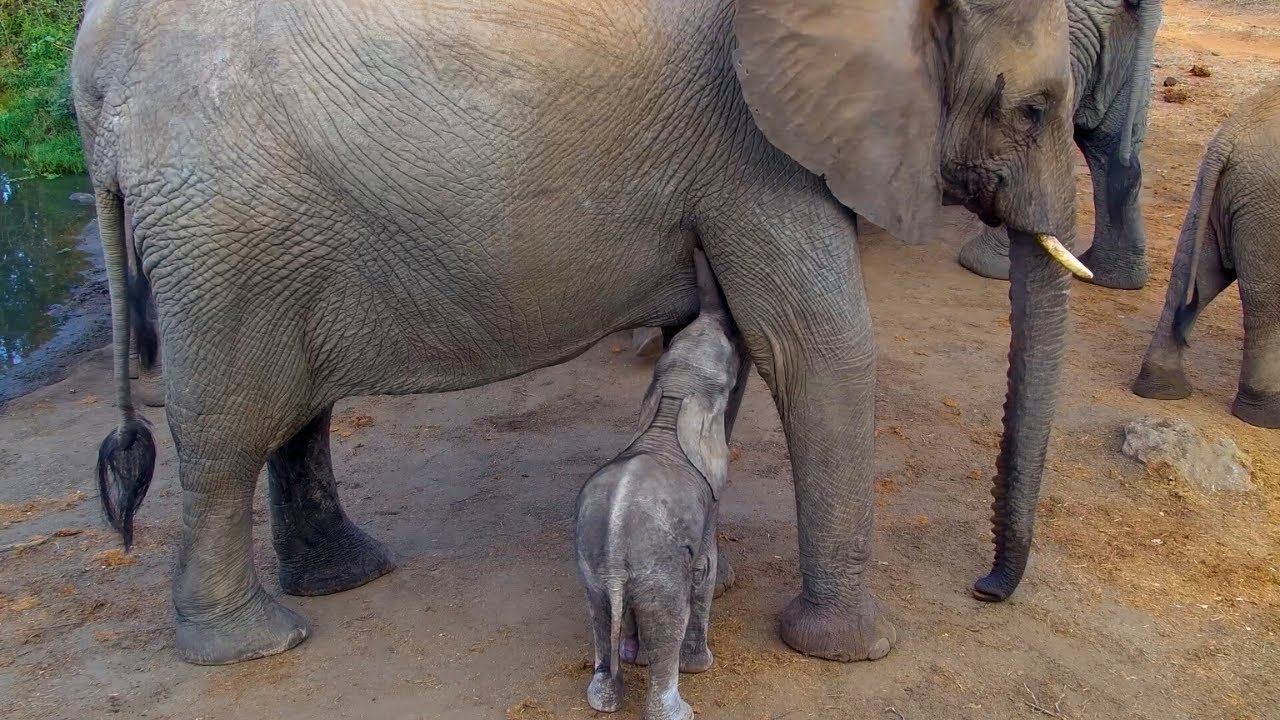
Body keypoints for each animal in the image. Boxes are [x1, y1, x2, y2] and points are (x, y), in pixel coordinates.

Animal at [76, 0, 1084, 666]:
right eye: (1034, 108)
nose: (985, 590)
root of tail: (97, 70)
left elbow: (720, 341)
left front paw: (713, 575)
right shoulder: (755, 145)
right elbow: (819, 348)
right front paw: (846, 650)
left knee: (294, 413)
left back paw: (344, 578)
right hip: (224, 235)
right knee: (227, 436)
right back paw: (254, 644)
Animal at [575, 251, 742, 720]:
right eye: (731, 372)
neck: (674, 398)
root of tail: (615, 555)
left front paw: (635, 658)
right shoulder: (710, 497)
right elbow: (705, 567)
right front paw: (700, 667)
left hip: (593, 566)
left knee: (600, 612)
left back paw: (607, 696)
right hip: (658, 570)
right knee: (669, 615)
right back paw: (679, 709)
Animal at [1132, 83, 1280, 429]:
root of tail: (1232, 134)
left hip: (1220, 196)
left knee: (1192, 274)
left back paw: (1160, 390)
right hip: (1266, 201)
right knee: (1265, 303)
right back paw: (1265, 415)